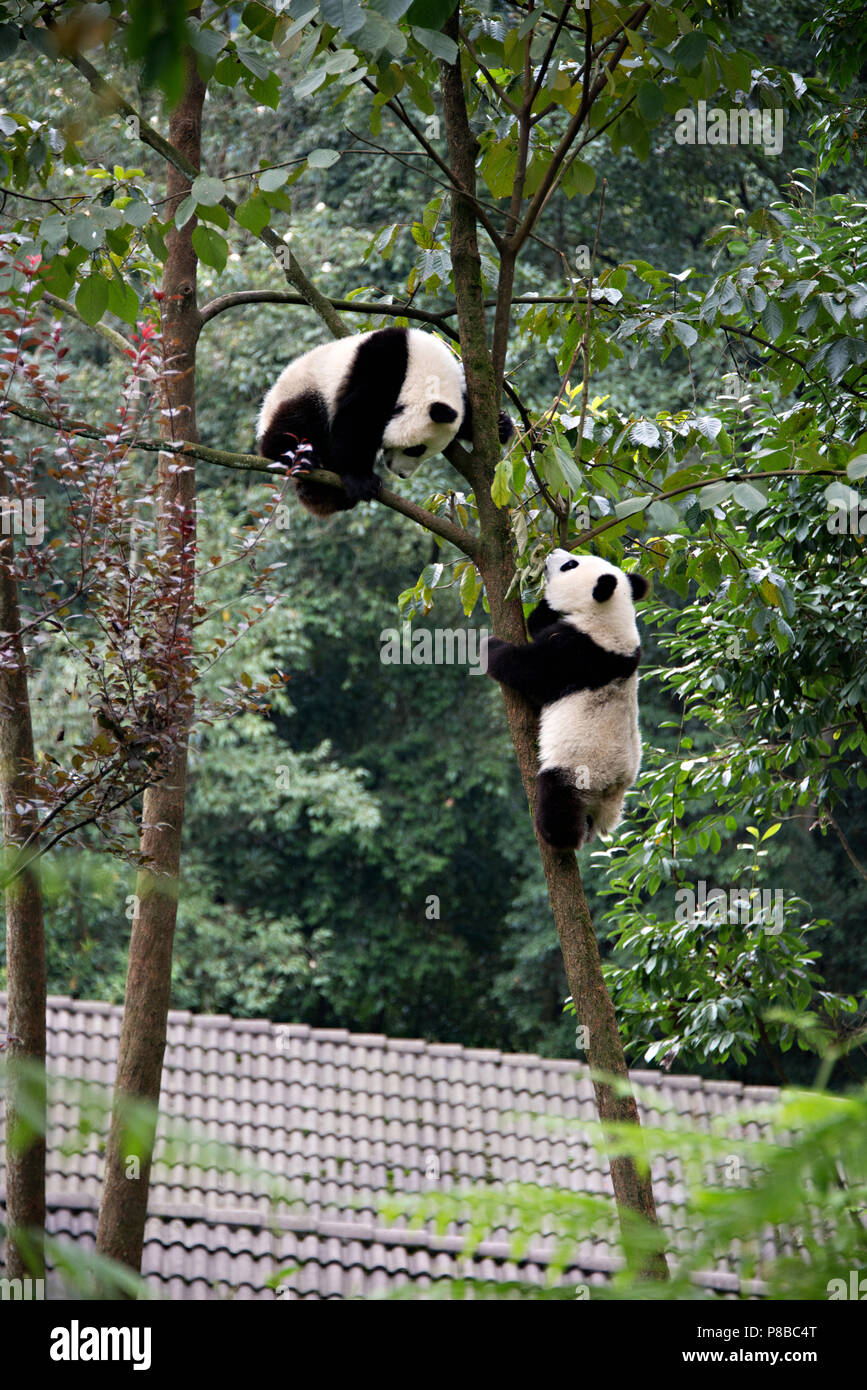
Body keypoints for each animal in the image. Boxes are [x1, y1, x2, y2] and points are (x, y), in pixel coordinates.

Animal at [256, 325, 514, 517]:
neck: (423, 369)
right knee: (298, 421)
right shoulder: (382, 367)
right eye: (416, 449)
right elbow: (357, 419)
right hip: (305, 389)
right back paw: (296, 456)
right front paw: (361, 480)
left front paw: (502, 425)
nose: (402, 474)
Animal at [484, 549, 649, 851]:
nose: (552, 553)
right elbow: (538, 624)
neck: (610, 615)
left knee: (556, 797)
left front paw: (489, 648)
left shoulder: (580, 654)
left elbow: (533, 671)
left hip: (580, 770)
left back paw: (558, 836)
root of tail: (613, 791)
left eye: (571, 565)